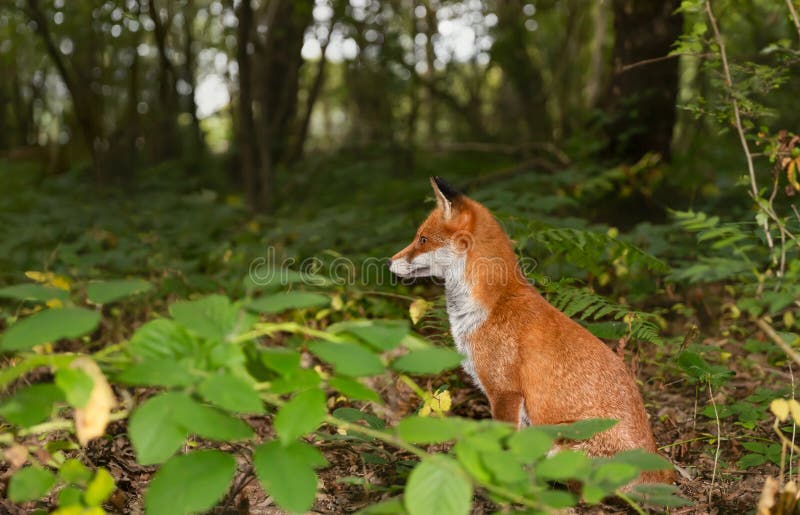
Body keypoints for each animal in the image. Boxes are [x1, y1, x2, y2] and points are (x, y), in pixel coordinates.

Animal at [389, 177, 673, 485]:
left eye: (422, 239)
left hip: (564, 445)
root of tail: (661, 478)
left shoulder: (505, 392)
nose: (388, 261)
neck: (489, 307)